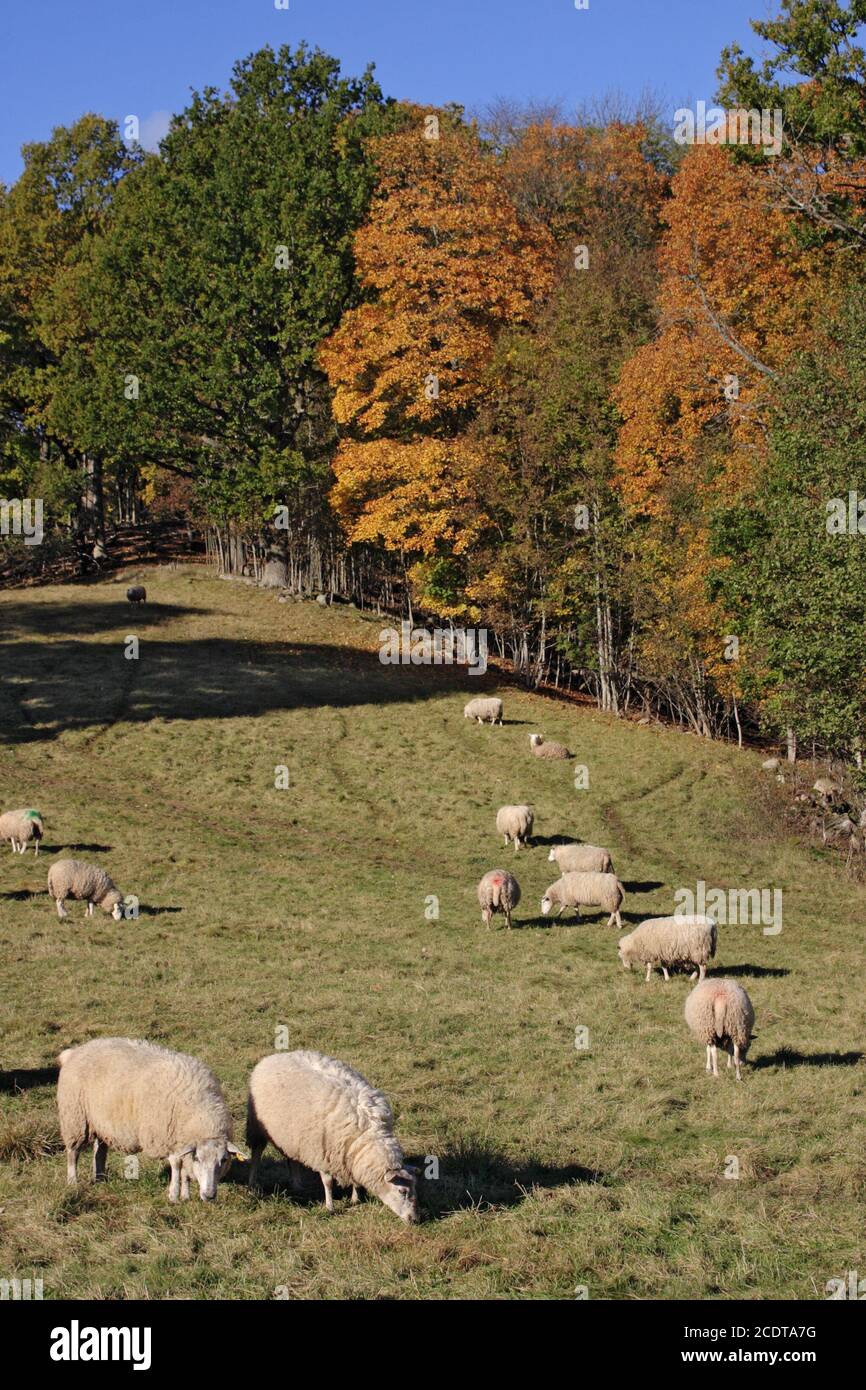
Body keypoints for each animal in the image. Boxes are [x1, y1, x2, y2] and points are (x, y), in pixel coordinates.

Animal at [57, 1037, 244, 1200]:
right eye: (198, 1158)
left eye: (224, 1160)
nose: (209, 1196)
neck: (200, 1112)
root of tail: (74, 1051)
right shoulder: (167, 1136)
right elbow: (176, 1165)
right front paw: (174, 1195)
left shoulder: (181, 1141)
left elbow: (184, 1170)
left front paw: (185, 1195)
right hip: (75, 1117)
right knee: (73, 1153)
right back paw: (73, 1182)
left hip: (101, 1123)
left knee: (100, 1151)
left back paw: (100, 1179)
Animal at [246, 1051, 419, 1223]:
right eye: (402, 1191)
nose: (415, 1219)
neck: (368, 1135)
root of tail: (274, 1056)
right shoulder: (321, 1154)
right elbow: (328, 1183)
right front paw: (330, 1207)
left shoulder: (350, 1155)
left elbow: (354, 1181)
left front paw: (355, 1199)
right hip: (257, 1127)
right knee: (256, 1154)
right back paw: (253, 1182)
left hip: (290, 1136)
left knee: (291, 1159)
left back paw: (297, 1184)